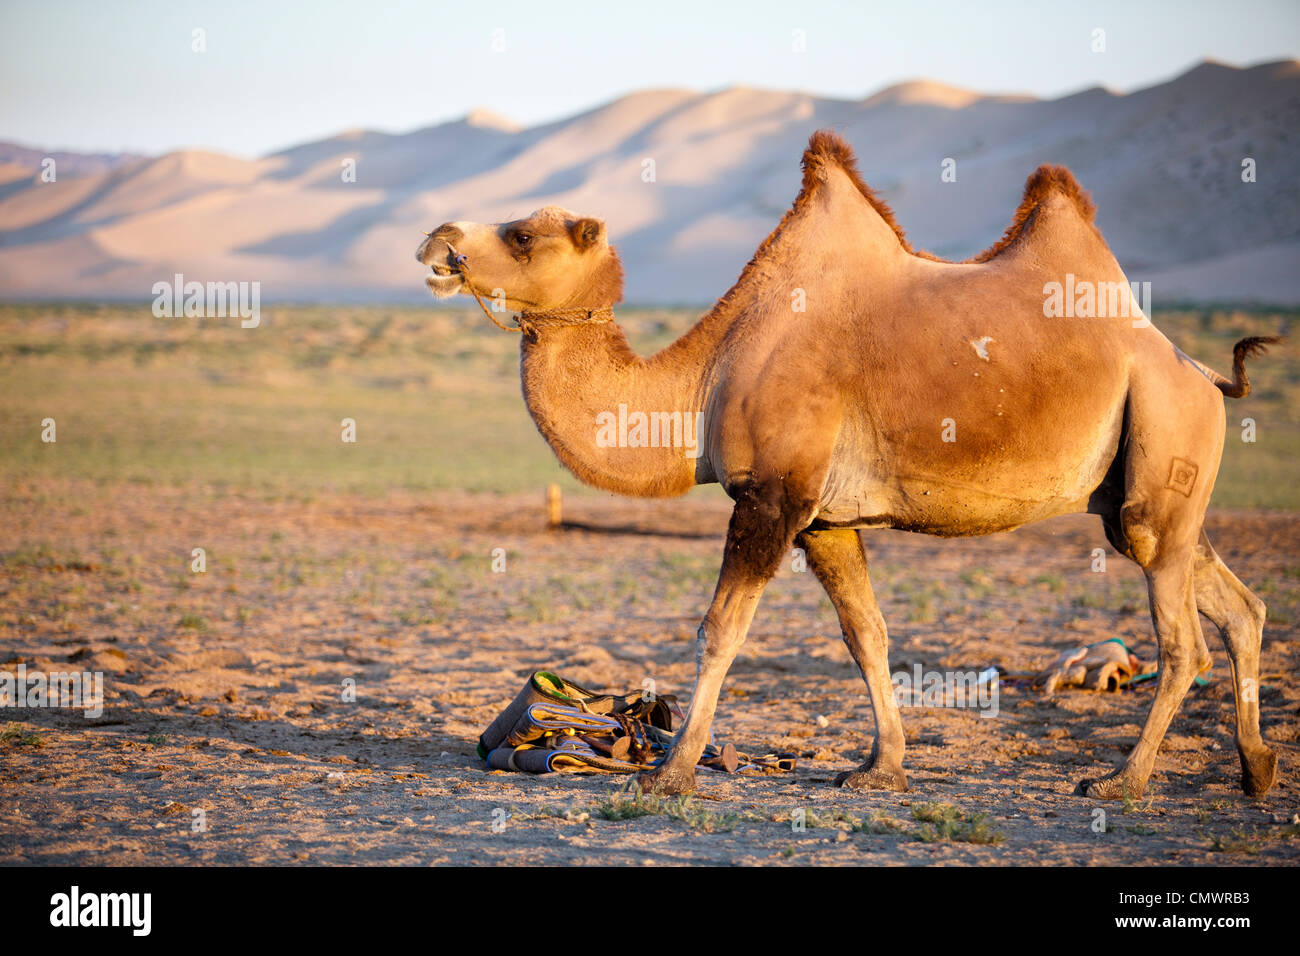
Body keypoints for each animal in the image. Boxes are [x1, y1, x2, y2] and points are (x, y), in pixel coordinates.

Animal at [415, 130, 1280, 802]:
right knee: (1238, 606)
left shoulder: (771, 498)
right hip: (1152, 495)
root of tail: (1205, 374)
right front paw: (880, 768)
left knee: (1183, 642)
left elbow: (720, 632)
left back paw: (1122, 782)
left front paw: (671, 773)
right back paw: (1257, 769)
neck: (704, 379)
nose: (435, 239)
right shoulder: (825, 521)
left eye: (522, 235)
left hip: (1161, 448)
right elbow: (868, 635)